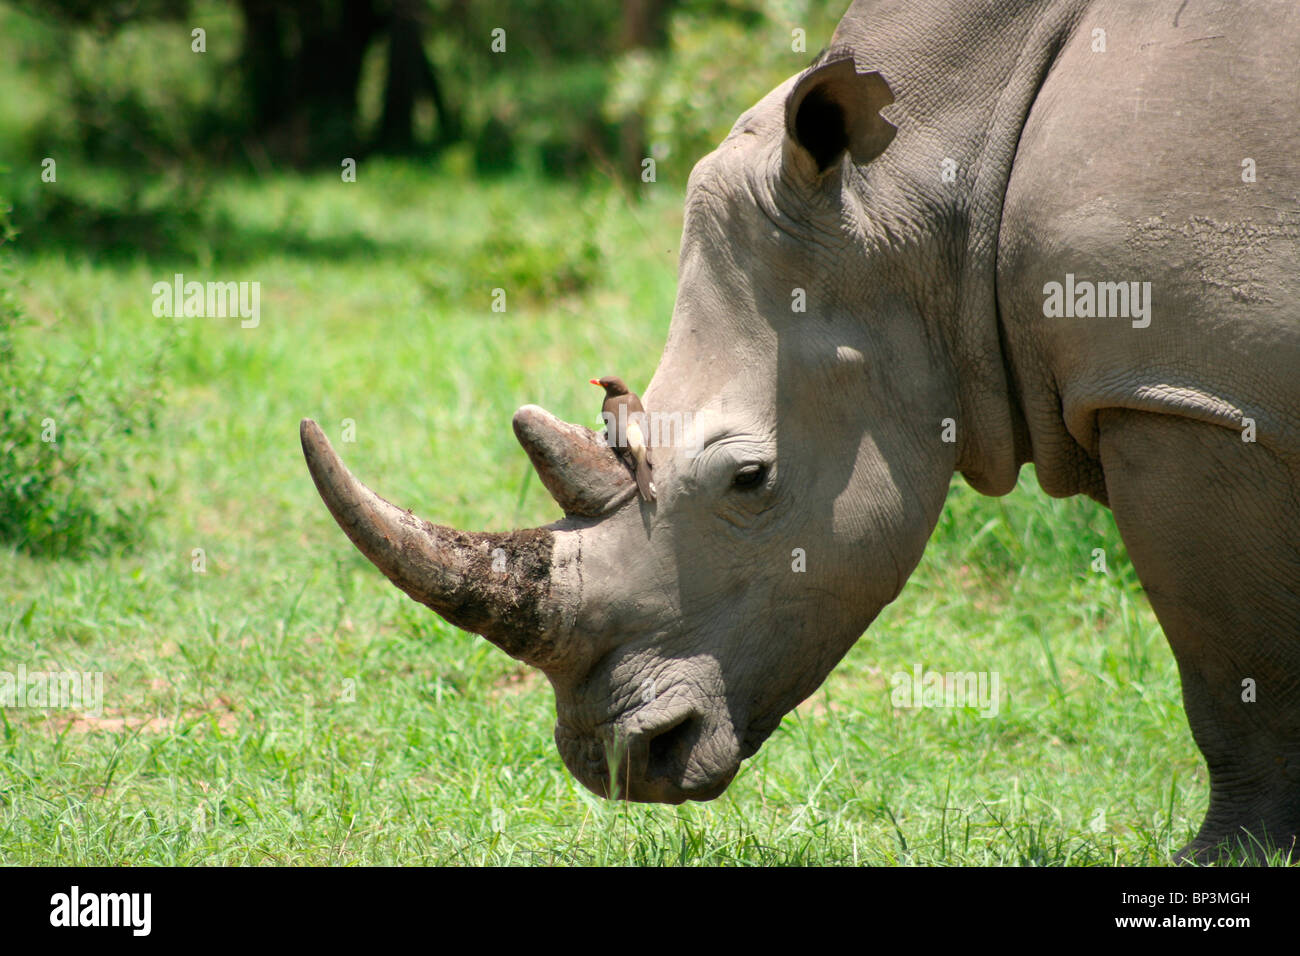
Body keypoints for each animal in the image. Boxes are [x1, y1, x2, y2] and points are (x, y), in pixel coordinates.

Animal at [302, 0, 1300, 862]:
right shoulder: (1198, 390)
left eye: (749, 481)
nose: (618, 763)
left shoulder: (1183, 394)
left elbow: (1233, 672)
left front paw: (1223, 858)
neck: (929, 179)